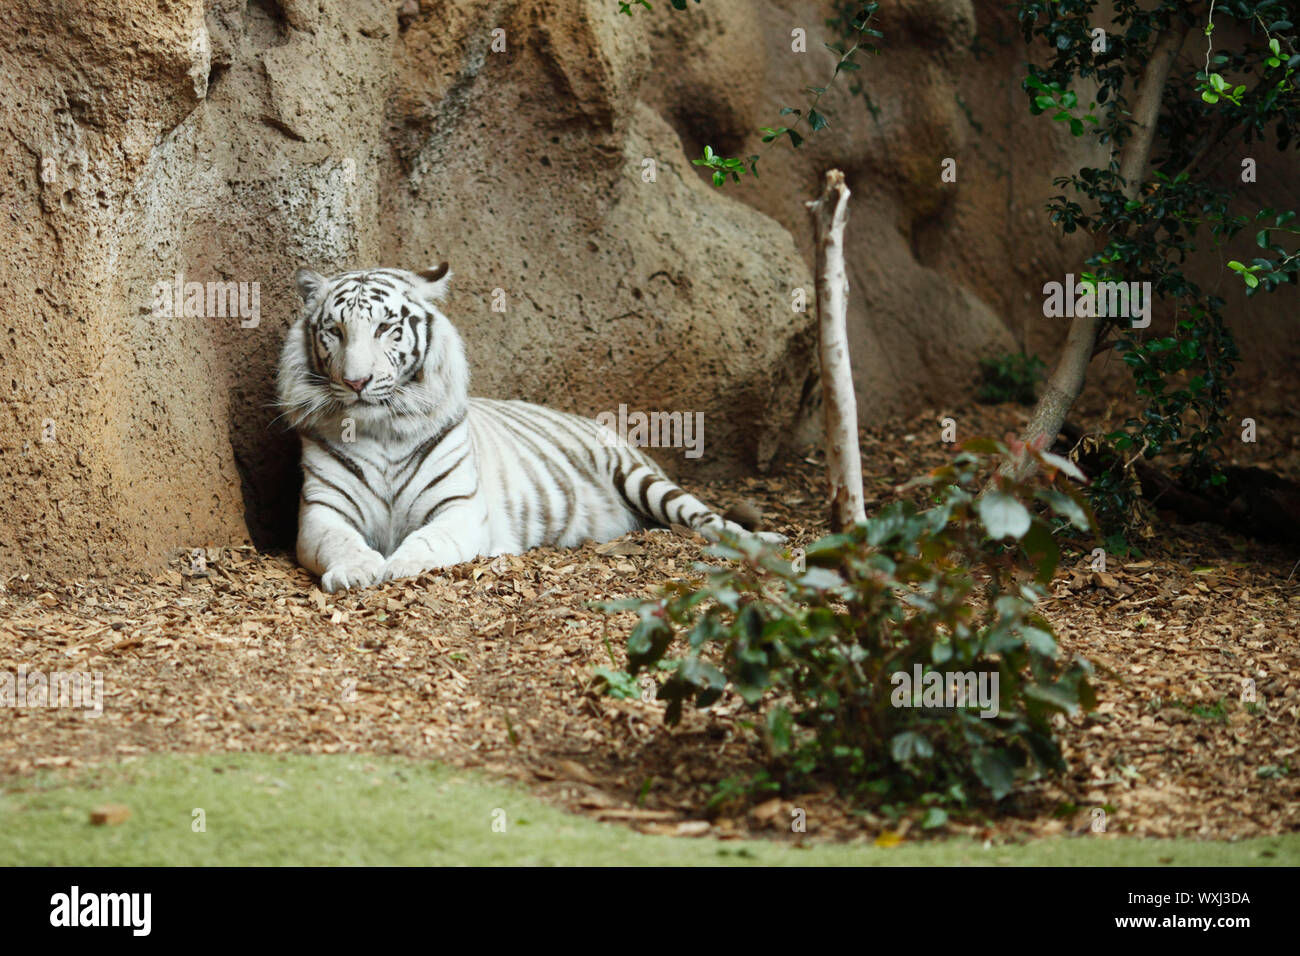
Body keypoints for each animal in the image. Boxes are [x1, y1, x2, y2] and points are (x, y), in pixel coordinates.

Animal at [275, 264, 785, 593]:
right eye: (335, 331)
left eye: (385, 328)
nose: (356, 382)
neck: (381, 429)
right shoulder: (322, 512)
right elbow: (340, 541)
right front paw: (356, 570)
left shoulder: (459, 508)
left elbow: (428, 539)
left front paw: (401, 565)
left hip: (643, 479)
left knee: (709, 520)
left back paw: (767, 542)